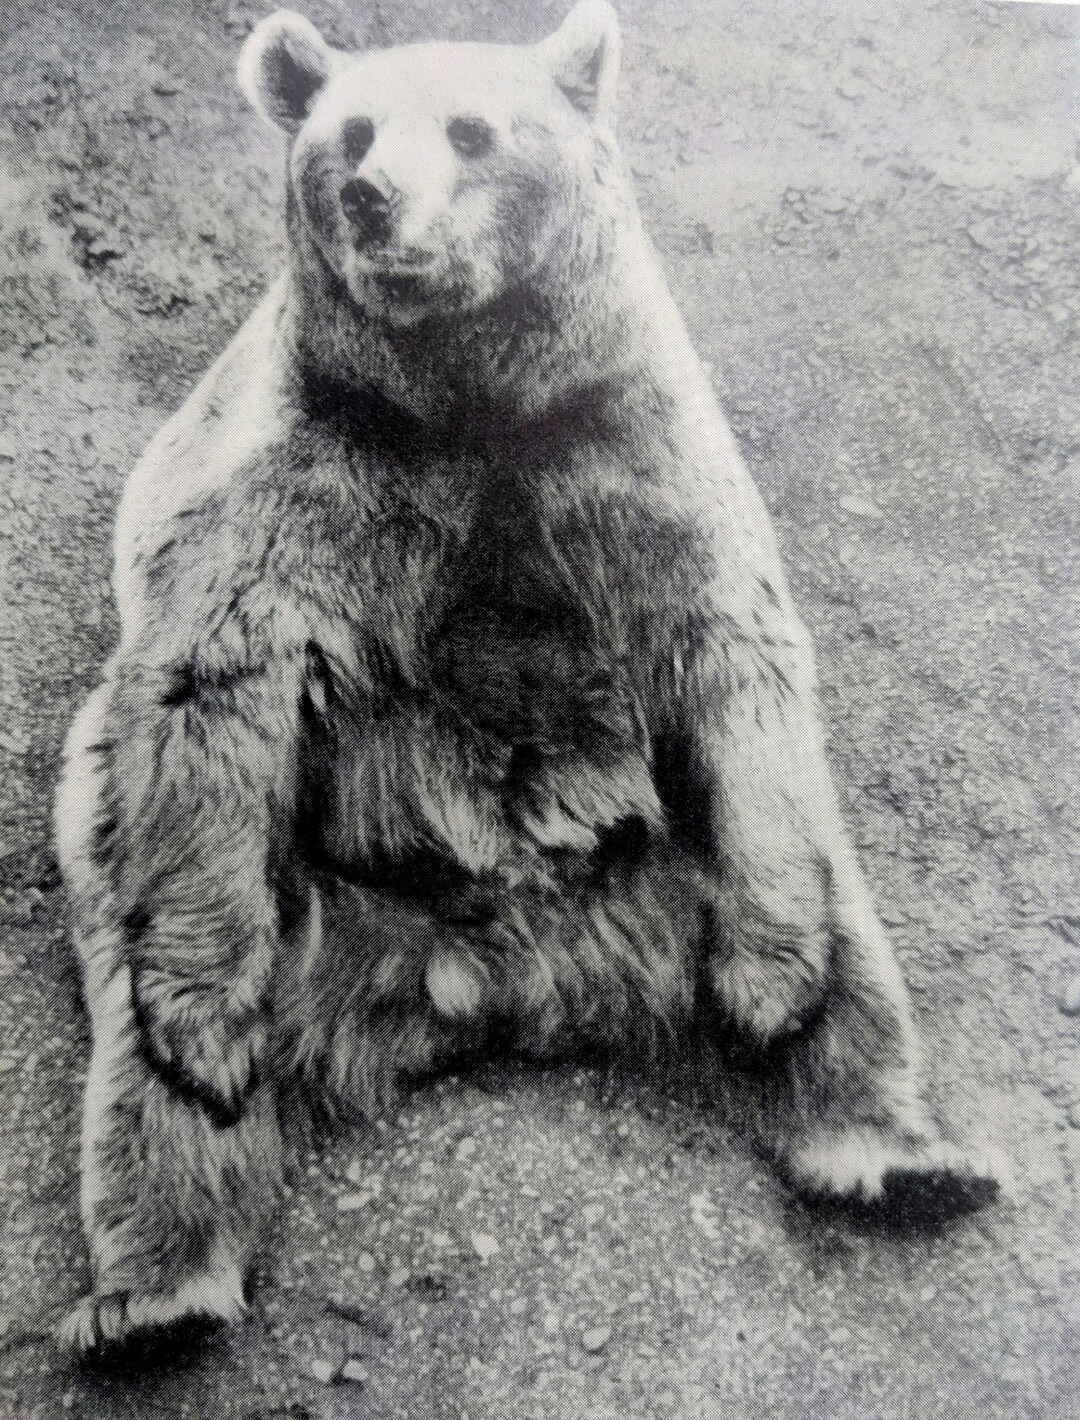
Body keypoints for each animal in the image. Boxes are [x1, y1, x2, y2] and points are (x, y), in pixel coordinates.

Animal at [54, 0, 999, 1353]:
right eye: (350, 135)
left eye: (470, 129)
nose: (375, 198)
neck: (466, 393)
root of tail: (496, 984)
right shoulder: (304, 470)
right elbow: (213, 676)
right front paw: (203, 1037)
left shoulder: (625, 449)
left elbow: (730, 641)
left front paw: (772, 996)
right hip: (241, 894)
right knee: (141, 1061)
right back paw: (154, 1297)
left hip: (693, 860)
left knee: (851, 948)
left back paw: (902, 1156)